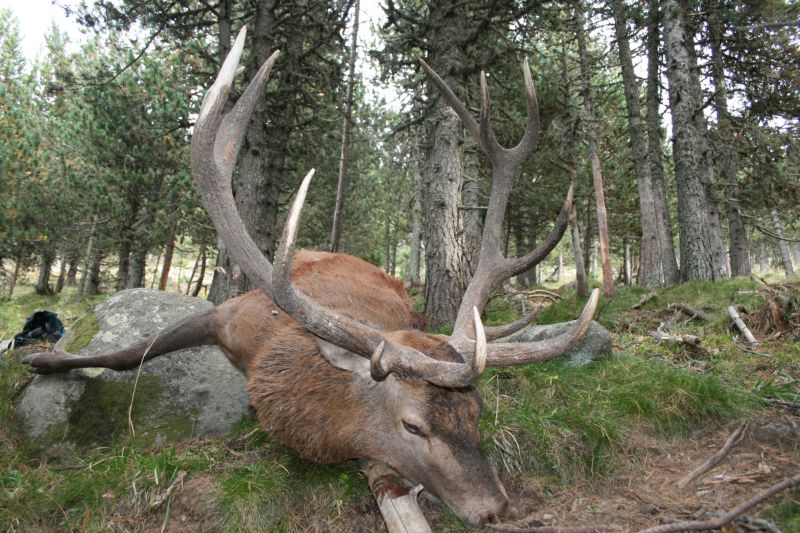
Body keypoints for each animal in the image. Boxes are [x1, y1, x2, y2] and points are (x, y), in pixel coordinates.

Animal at [23, 27, 599, 526]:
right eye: (413, 425)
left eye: (478, 412)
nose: (496, 507)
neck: (273, 361)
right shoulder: (229, 312)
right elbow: (128, 354)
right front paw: (43, 358)